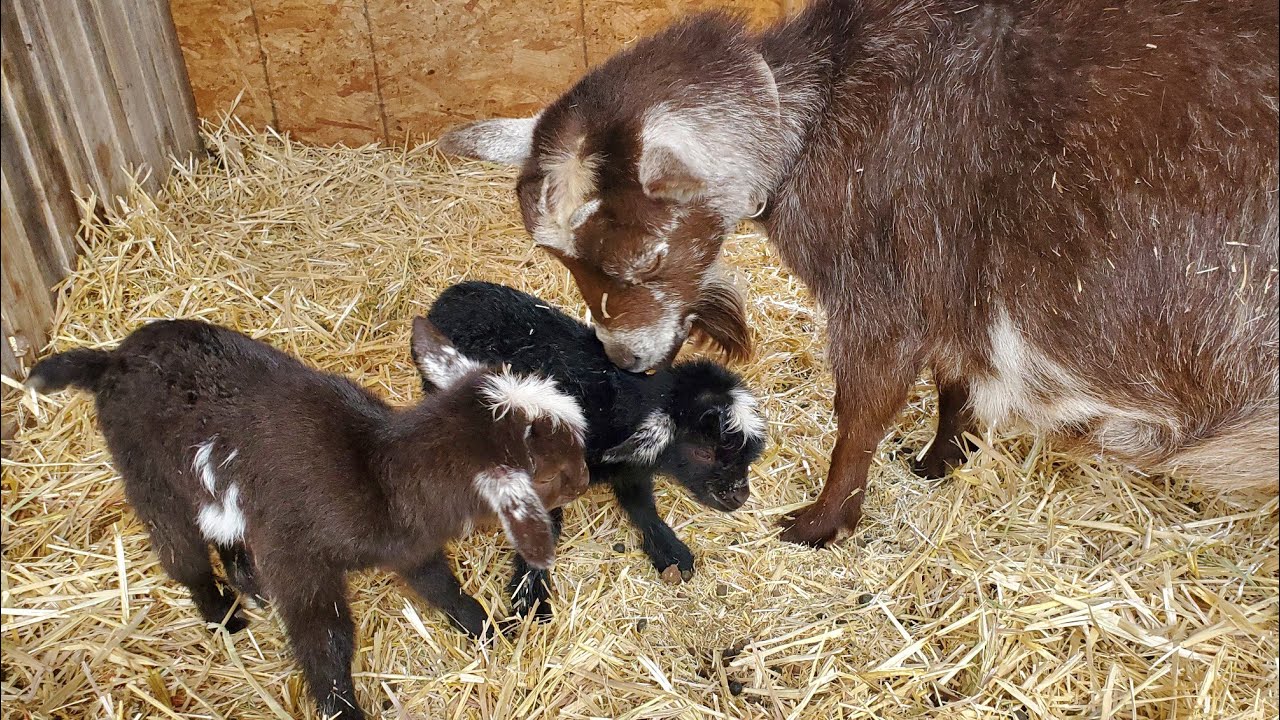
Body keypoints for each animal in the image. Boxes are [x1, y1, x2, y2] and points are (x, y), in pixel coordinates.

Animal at [26, 319, 589, 719]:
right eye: (554, 473)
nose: (585, 480)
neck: (378, 469)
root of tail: (111, 359)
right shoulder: (297, 557)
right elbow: (325, 639)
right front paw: (342, 710)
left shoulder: (408, 546)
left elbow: (444, 589)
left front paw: (490, 631)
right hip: (148, 474)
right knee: (181, 551)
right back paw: (222, 613)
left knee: (222, 528)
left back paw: (245, 581)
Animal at [412, 281, 765, 617]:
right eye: (703, 452)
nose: (739, 497)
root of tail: (449, 295)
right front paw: (530, 596)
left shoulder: (631, 469)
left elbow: (641, 505)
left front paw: (671, 552)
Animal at [436, 0, 1280, 547]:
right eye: (559, 260)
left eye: (639, 257)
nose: (627, 360)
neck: (822, 111)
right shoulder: (942, 279)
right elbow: (953, 379)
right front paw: (942, 461)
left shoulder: (879, 292)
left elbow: (861, 414)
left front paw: (819, 524)